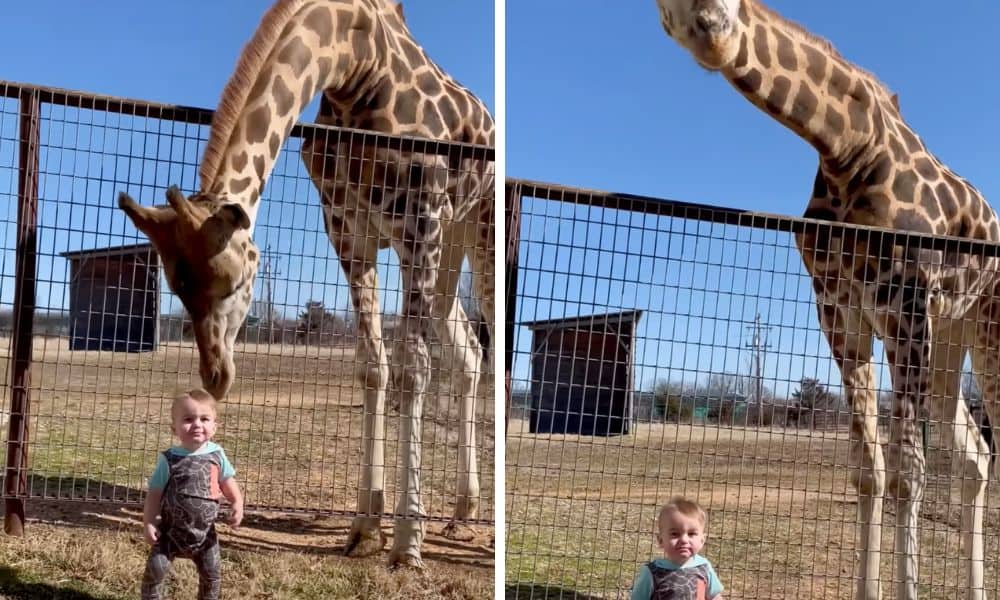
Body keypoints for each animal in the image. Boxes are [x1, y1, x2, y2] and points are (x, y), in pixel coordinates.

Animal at [117, 0, 494, 568]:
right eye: (174, 288)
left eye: (234, 280)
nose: (216, 377)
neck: (354, 65)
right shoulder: (347, 232)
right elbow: (372, 367)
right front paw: (365, 525)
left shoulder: (417, 224)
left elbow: (412, 369)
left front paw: (407, 541)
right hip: (448, 250)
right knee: (469, 352)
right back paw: (464, 509)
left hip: (480, 229)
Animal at [653, 1, 998, 598]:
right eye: (663, 11)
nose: (713, 33)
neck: (847, 151)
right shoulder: (839, 311)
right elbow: (868, 469)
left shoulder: (904, 305)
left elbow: (908, 474)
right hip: (954, 334)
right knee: (976, 456)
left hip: (987, 325)